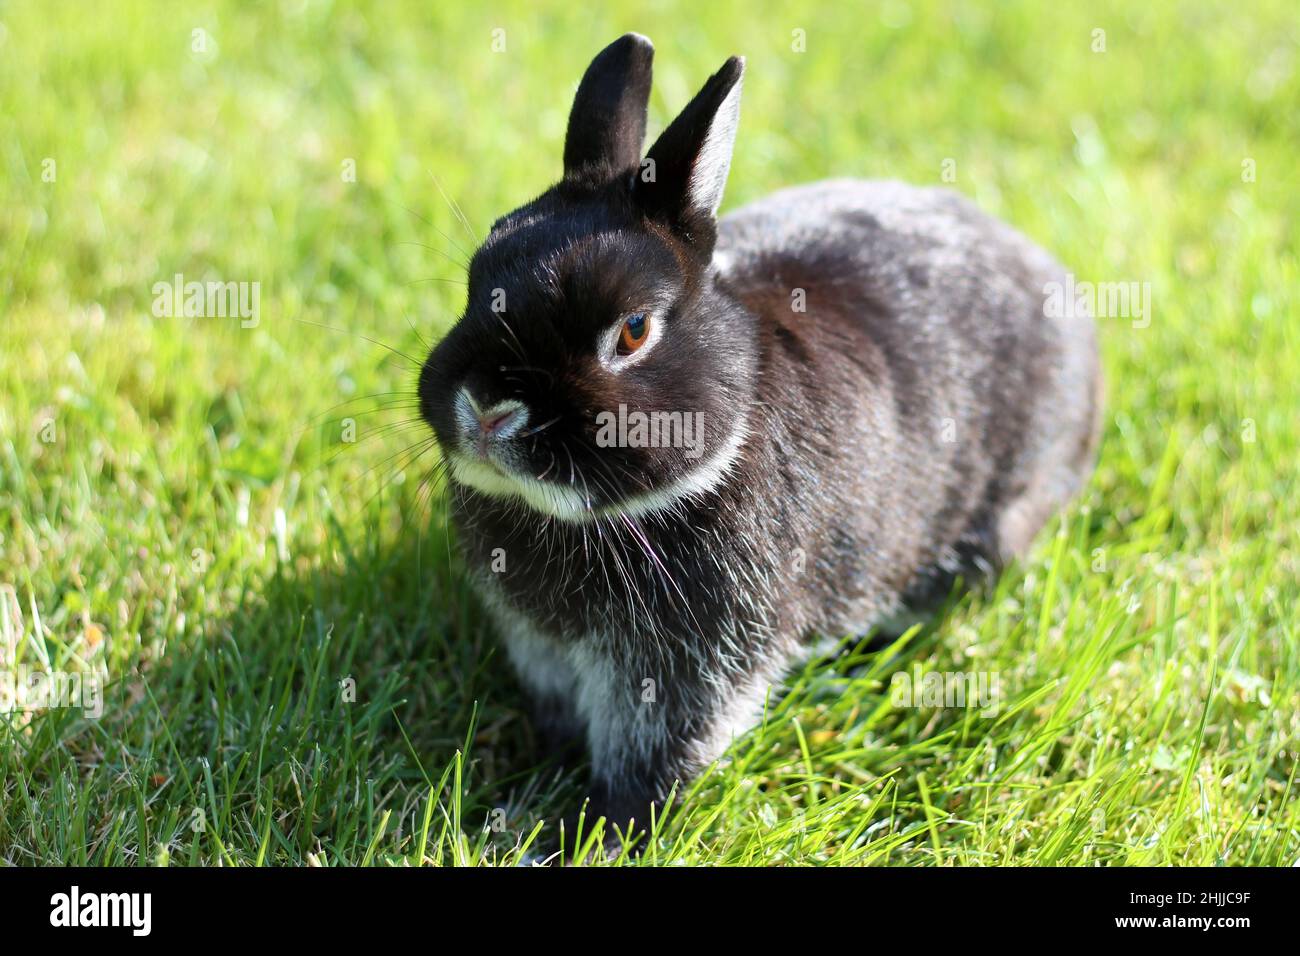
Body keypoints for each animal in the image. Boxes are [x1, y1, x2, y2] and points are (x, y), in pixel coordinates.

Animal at [417, 33, 1101, 851]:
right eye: (475, 277)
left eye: (634, 330)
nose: (488, 410)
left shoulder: (687, 671)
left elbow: (652, 762)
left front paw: (593, 834)